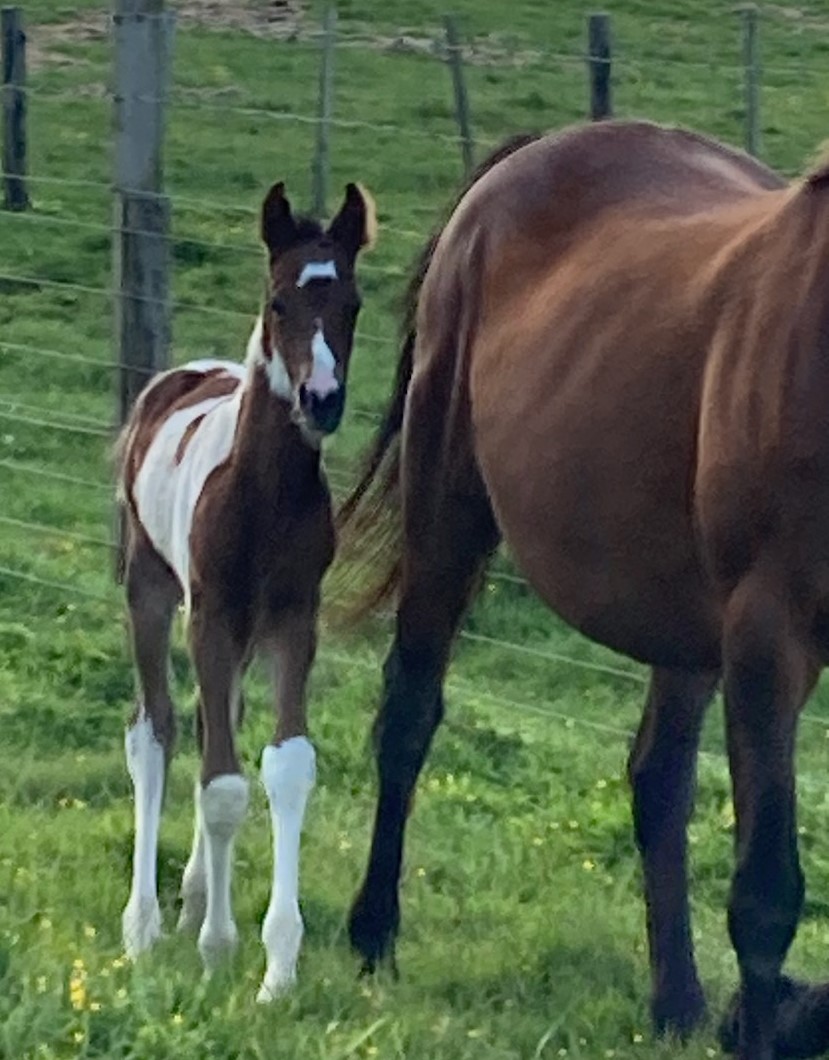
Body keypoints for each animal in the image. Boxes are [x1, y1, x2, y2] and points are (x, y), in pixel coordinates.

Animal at [115, 178, 375, 1001]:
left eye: (353, 303)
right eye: (278, 302)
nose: (322, 399)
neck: (262, 493)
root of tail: (185, 372)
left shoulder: (292, 619)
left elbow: (284, 768)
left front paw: (277, 968)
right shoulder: (208, 615)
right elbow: (221, 785)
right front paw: (219, 948)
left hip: (237, 628)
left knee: (210, 723)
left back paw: (196, 894)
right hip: (152, 591)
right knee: (157, 732)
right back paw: (144, 926)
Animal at [336, 119, 829, 1060]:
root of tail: (534, 154)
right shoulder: (768, 636)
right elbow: (765, 892)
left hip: (685, 621)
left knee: (657, 778)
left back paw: (676, 1002)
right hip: (447, 513)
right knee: (409, 715)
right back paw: (371, 935)